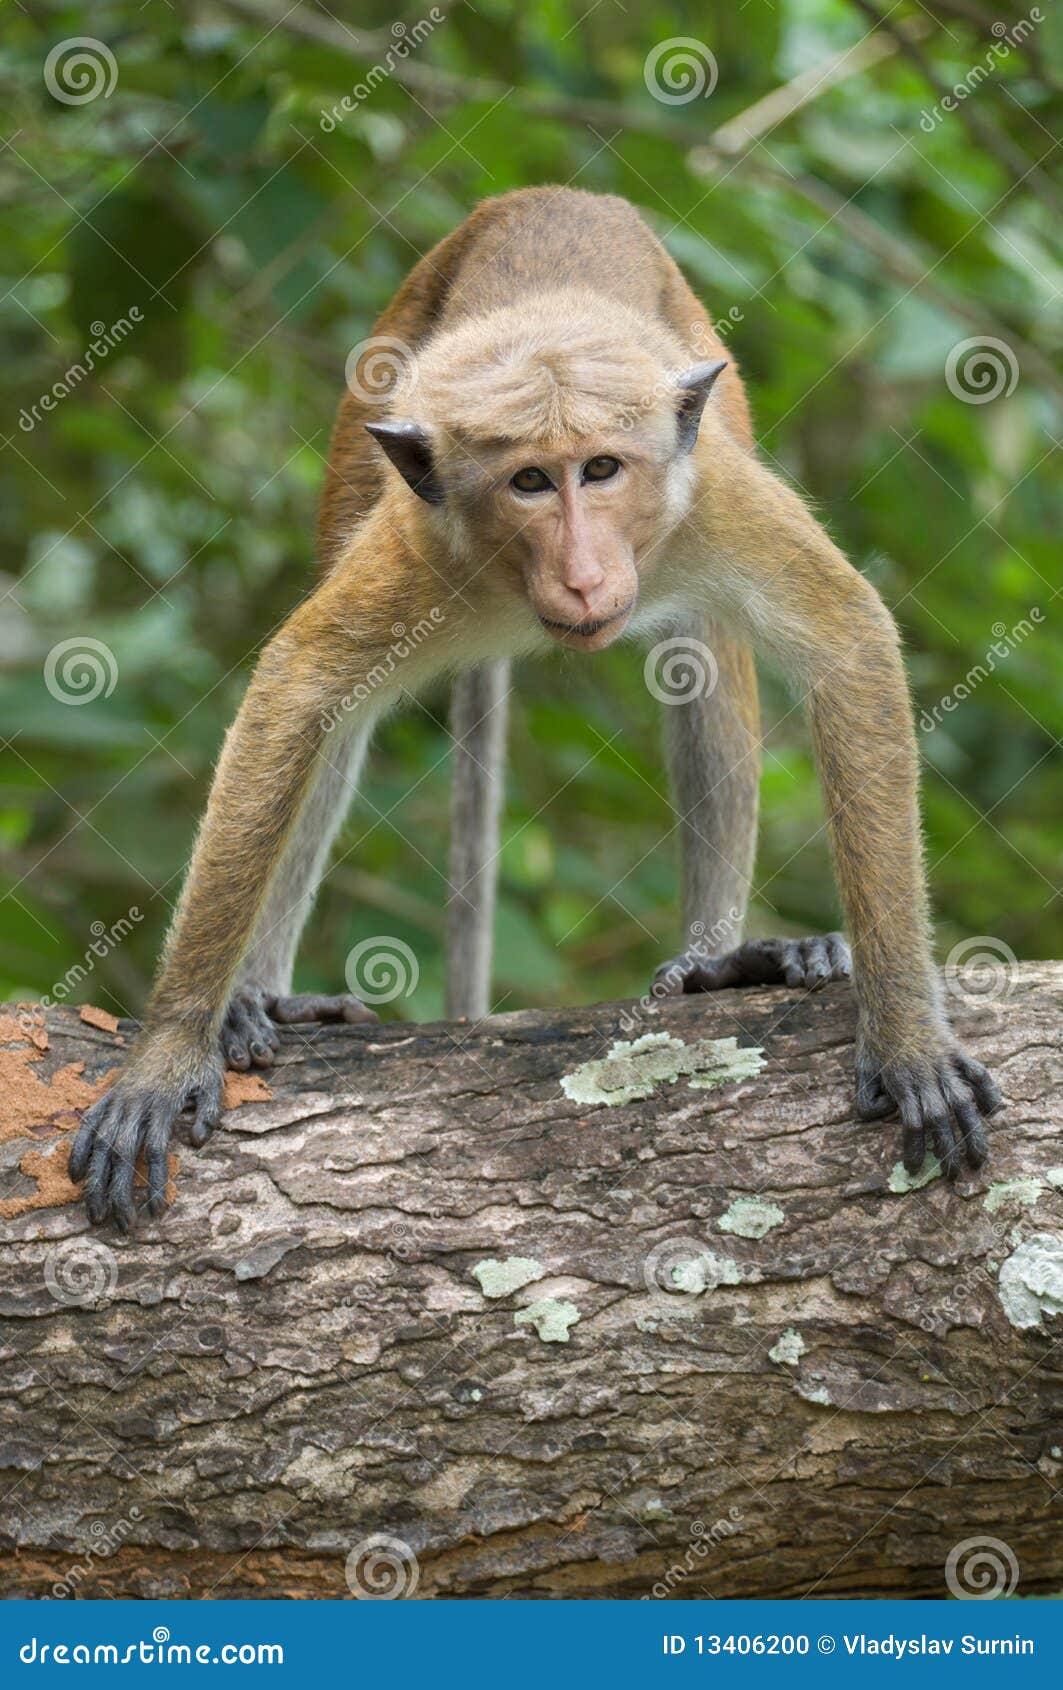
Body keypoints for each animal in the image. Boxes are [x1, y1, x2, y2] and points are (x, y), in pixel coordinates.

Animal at [70, 186, 1000, 1230]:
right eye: (527, 481)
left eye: (600, 470)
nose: (585, 575)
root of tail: (550, 196)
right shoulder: (417, 535)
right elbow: (297, 692)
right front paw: (170, 1052)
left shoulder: (710, 494)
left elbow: (847, 644)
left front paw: (905, 1034)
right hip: (373, 410)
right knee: (337, 723)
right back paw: (259, 999)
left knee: (707, 653)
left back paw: (719, 964)